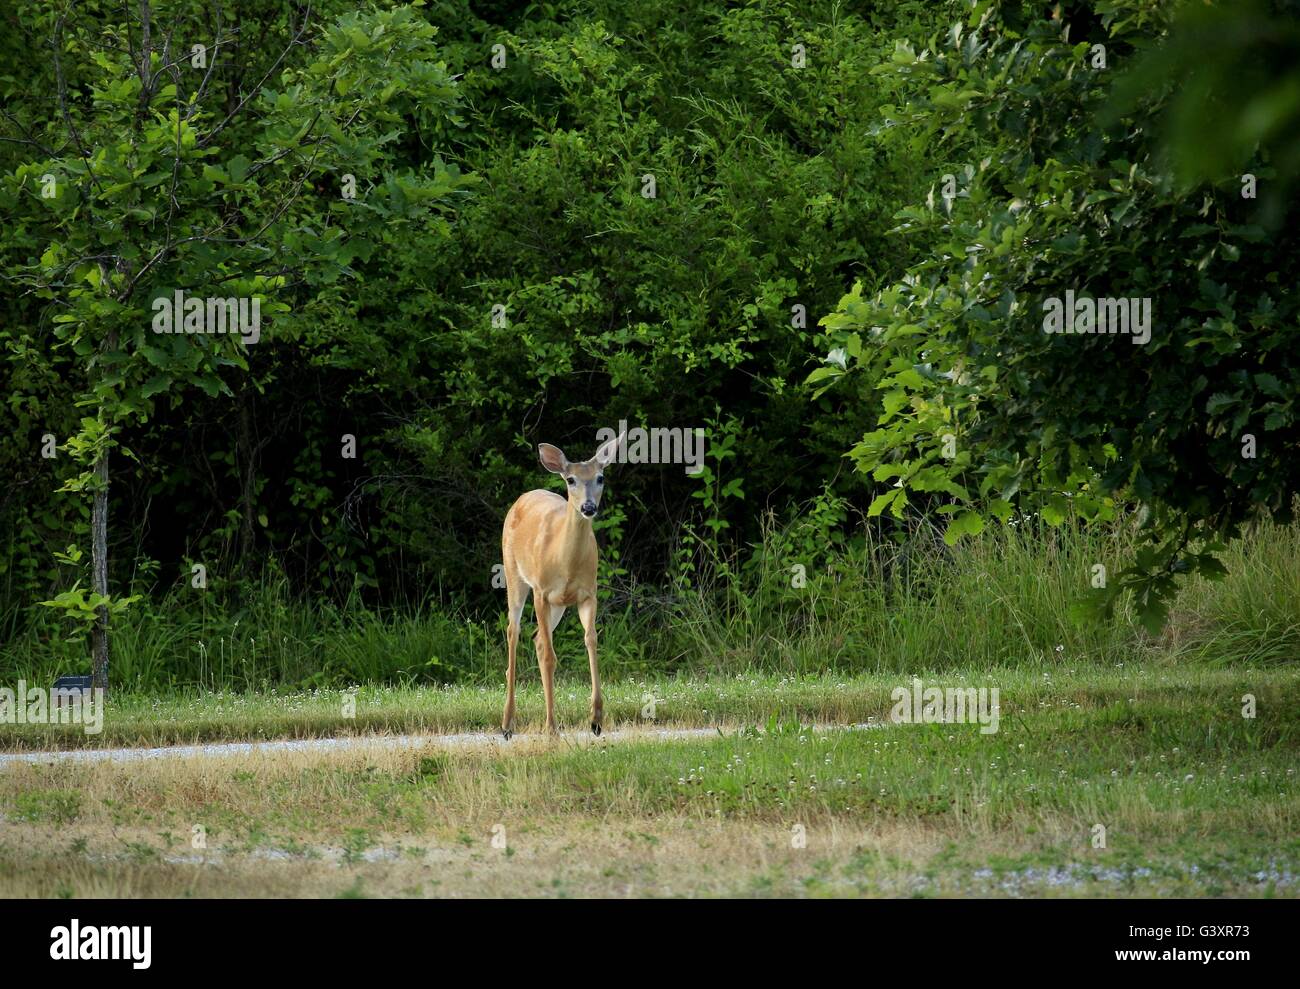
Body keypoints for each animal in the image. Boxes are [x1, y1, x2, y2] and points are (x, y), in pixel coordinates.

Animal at [499, 429, 624, 739]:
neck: (565, 562)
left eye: (600, 477)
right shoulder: (541, 592)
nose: (588, 507)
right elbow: (549, 655)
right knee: (514, 632)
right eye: (571, 480)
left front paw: (596, 719)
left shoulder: (588, 594)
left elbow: (591, 640)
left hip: (557, 605)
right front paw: (551, 727)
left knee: (535, 639)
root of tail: (523, 497)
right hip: (514, 575)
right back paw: (507, 723)